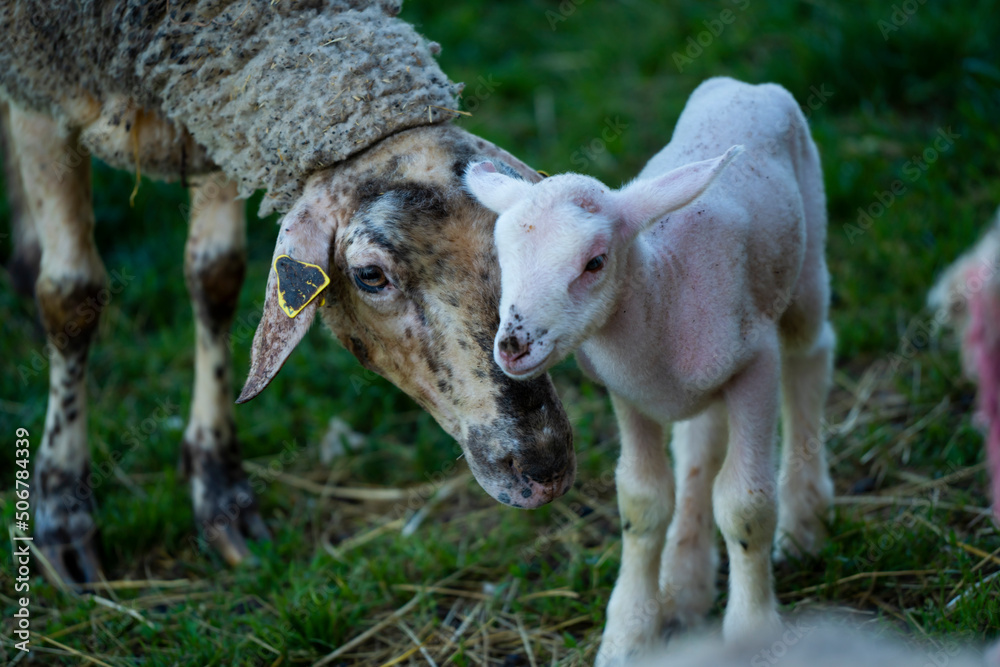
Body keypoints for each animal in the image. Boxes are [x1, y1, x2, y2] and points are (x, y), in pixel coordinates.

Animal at [1, 0, 575, 585]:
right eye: (371, 276)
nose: (543, 468)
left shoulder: (218, 108)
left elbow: (215, 277)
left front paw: (219, 489)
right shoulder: (39, 90)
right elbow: (72, 297)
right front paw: (62, 514)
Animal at [465, 77, 835, 664]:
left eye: (595, 262)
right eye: (501, 257)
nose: (512, 347)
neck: (665, 288)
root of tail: (743, 83)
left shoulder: (755, 366)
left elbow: (746, 505)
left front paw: (752, 633)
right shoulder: (628, 393)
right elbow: (643, 501)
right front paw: (629, 635)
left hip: (807, 256)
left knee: (811, 358)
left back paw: (804, 521)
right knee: (699, 443)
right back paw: (684, 584)